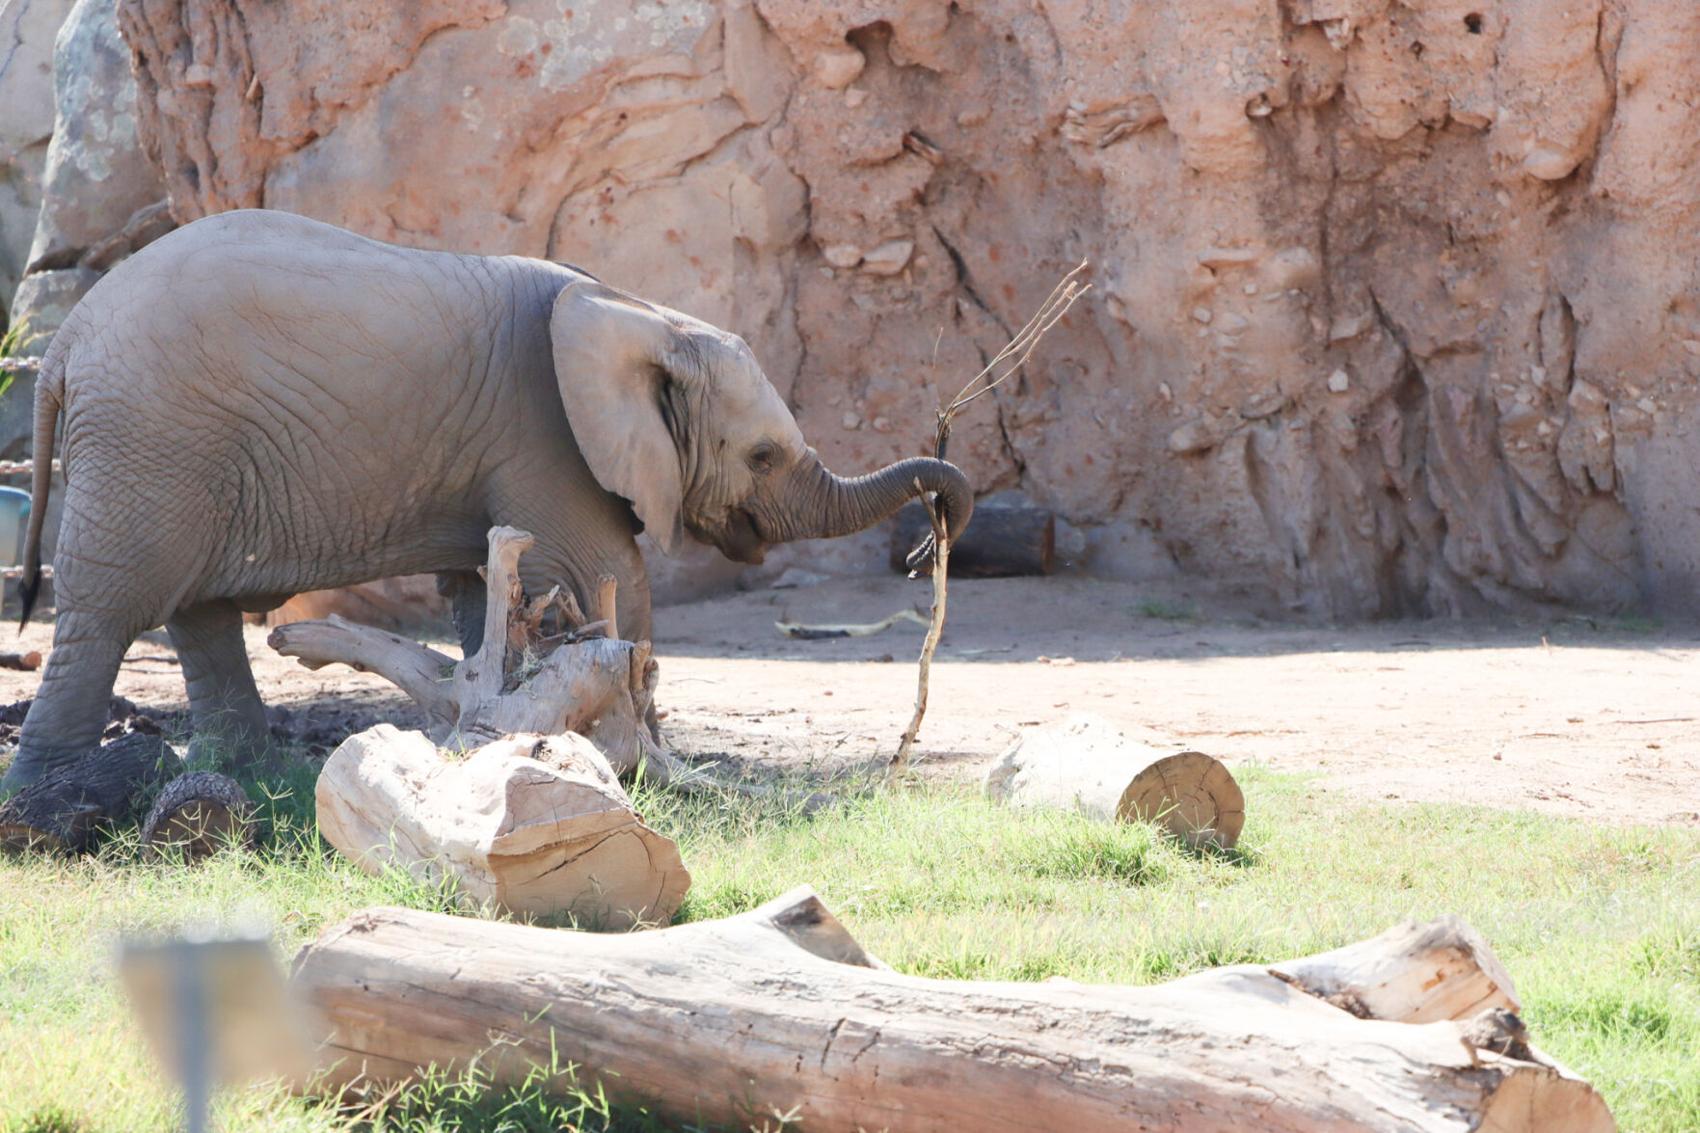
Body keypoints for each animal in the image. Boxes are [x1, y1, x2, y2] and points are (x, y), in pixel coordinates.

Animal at [0, 209, 972, 791]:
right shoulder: (548, 437)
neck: (639, 313)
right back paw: (51, 798)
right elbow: (607, 571)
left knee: (194, 609)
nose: (940, 526)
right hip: (153, 440)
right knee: (109, 607)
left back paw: (247, 772)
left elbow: (488, 591)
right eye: (763, 455)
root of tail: (65, 342)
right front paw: (640, 763)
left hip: (178, 449)